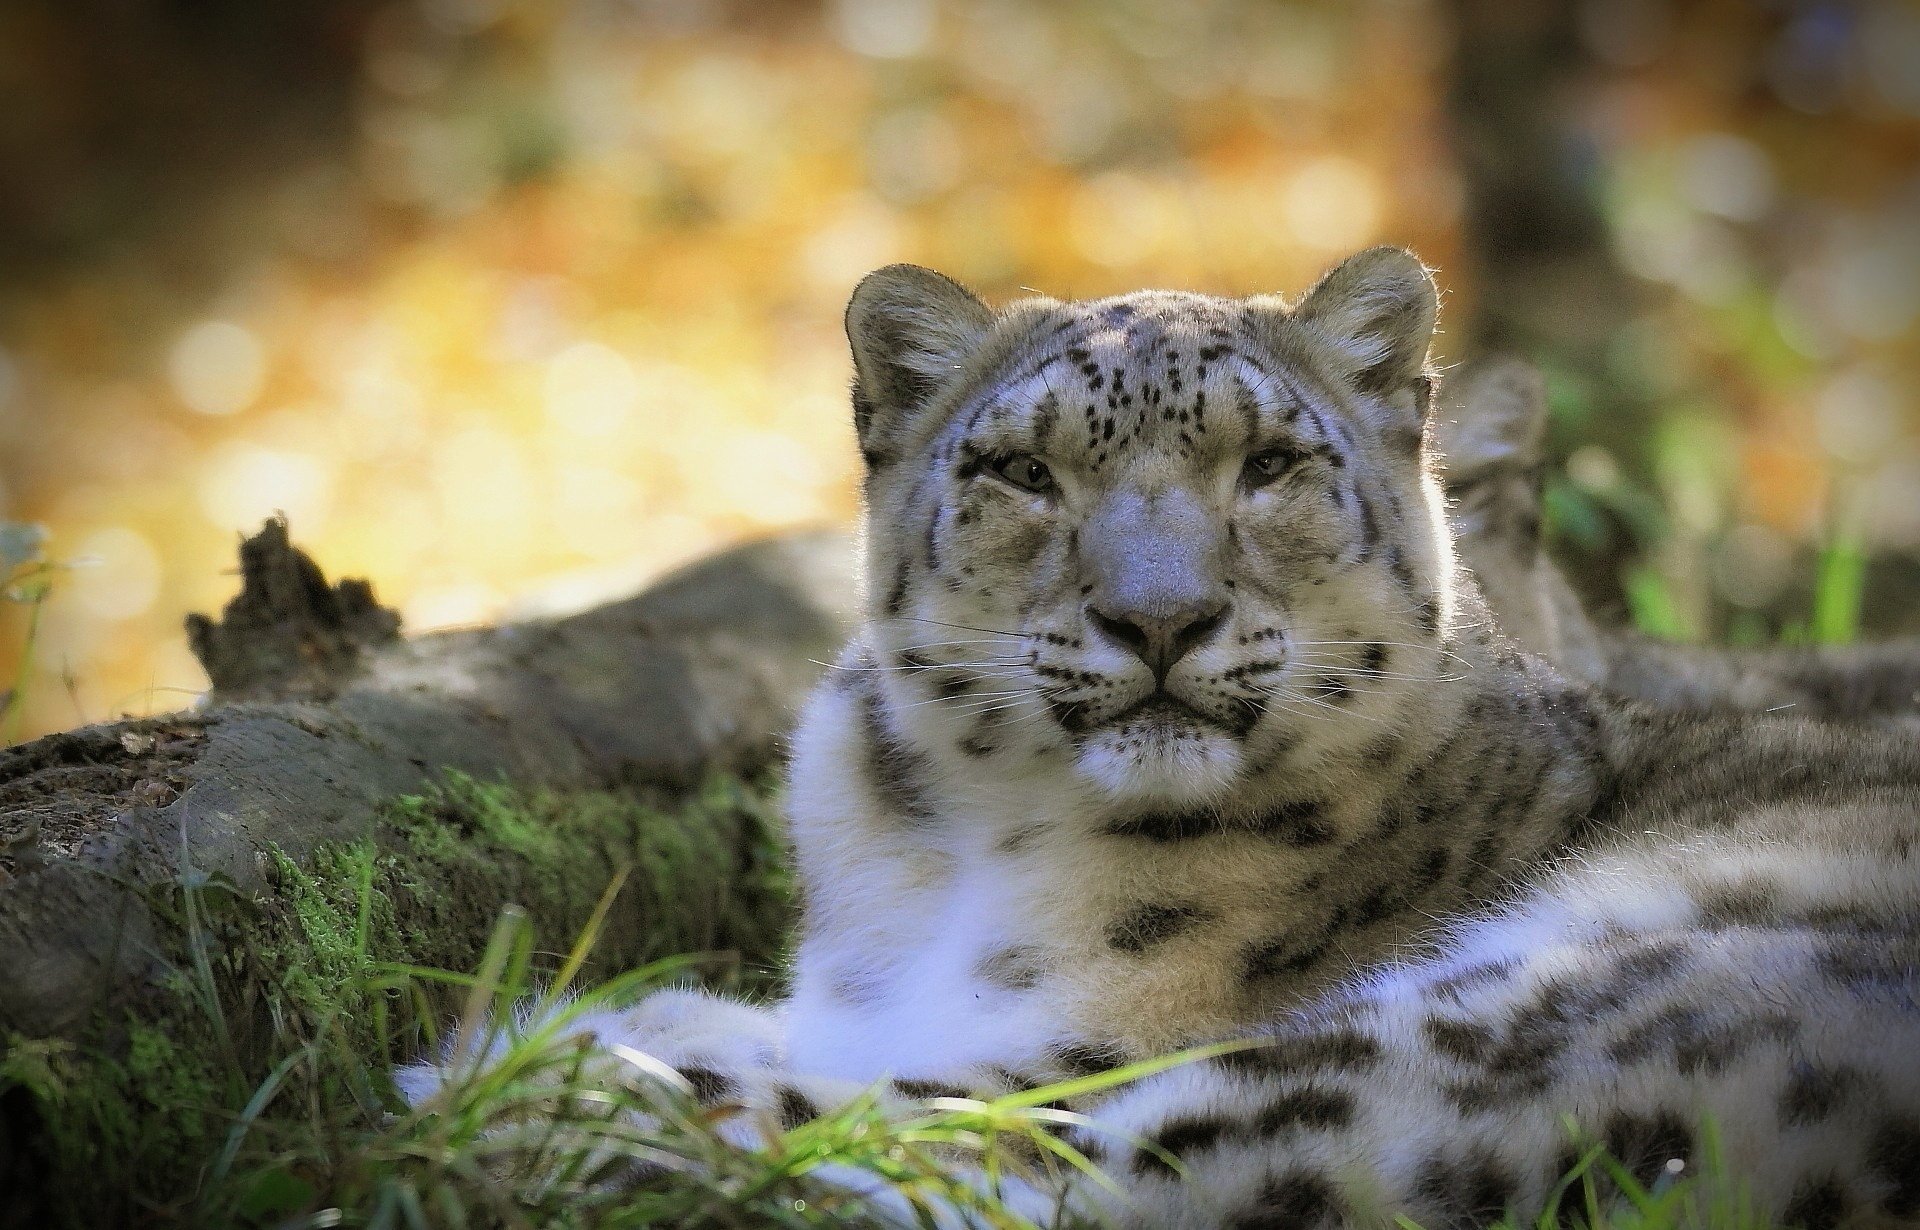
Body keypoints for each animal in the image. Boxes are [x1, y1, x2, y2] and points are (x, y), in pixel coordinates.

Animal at [400, 248, 1920, 1228]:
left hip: (1458, 1037)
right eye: (1023, 469)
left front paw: (557, 1048)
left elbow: (879, 1094)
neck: (945, 853)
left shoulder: (1085, 1043)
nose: (1161, 618)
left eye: (1272, 464)